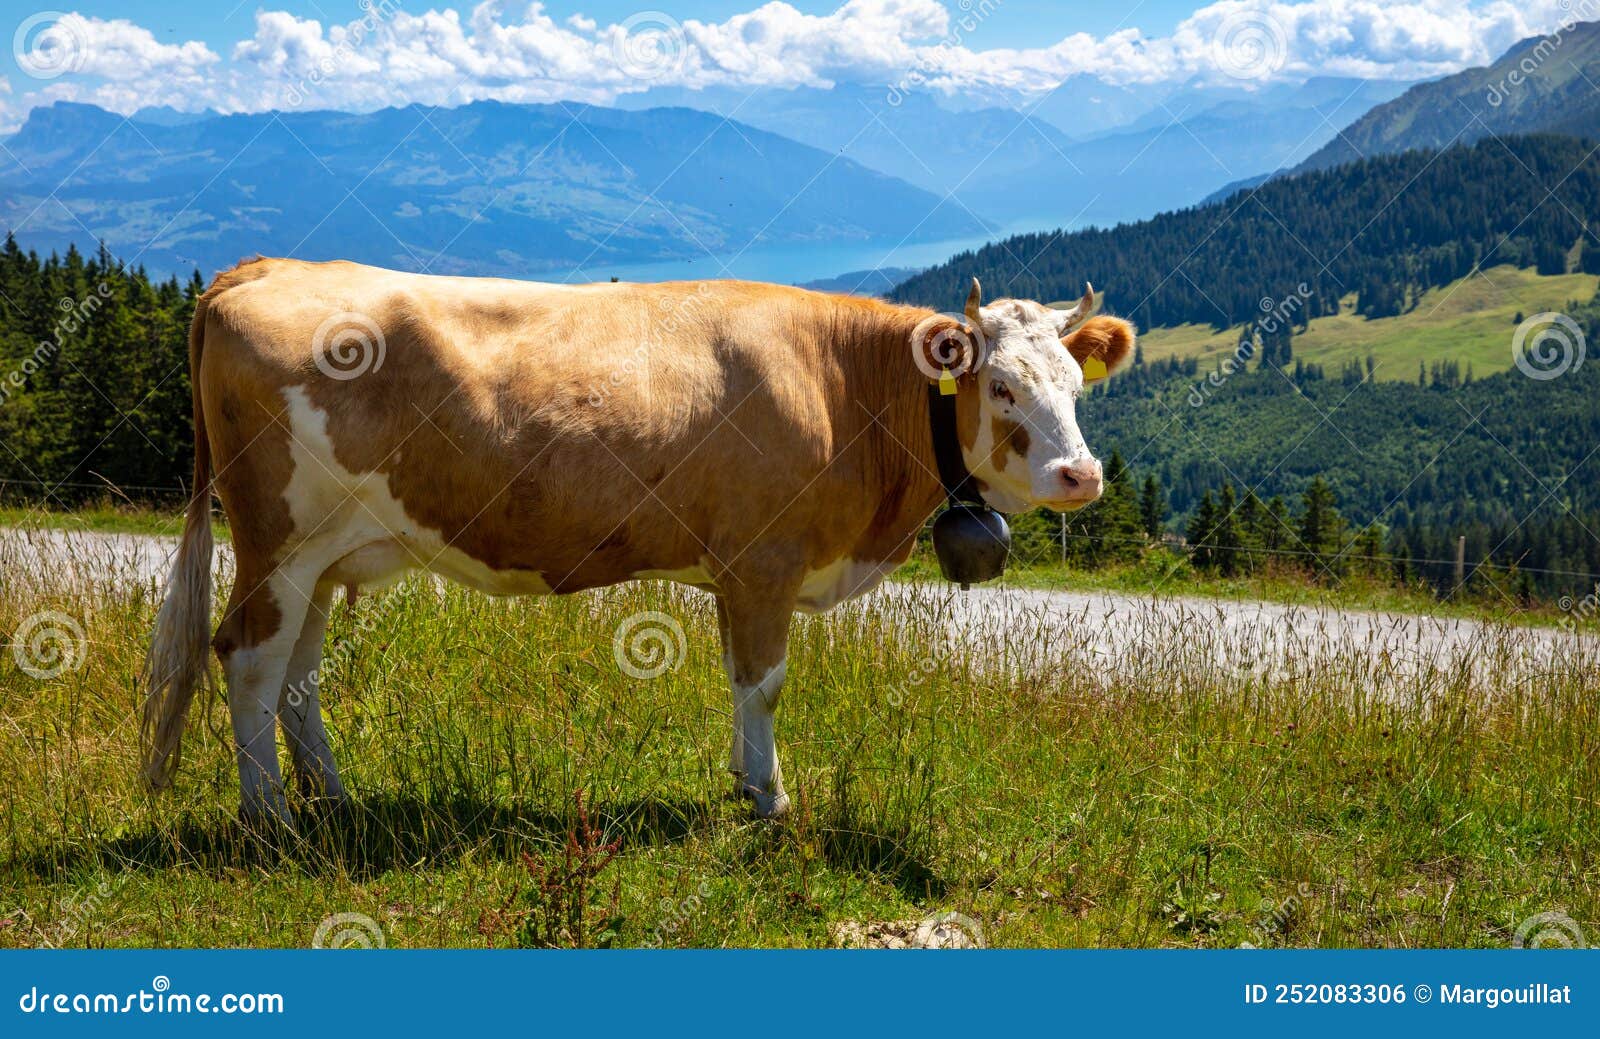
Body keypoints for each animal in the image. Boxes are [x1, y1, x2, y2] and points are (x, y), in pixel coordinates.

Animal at [141, 258, 1135, 826]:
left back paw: (334, 801)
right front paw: (772, 801)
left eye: (1076, 383)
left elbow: (739, 677)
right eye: (1001, 386)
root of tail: (266, 266)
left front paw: (743, 781)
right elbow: (764, 682)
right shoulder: (765, 560)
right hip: (277, 541)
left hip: (327, 554)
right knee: (247, 659)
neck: (843, 385)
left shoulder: (739, 570)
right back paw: (271, 817)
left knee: (297, 673)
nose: (1081, 475)